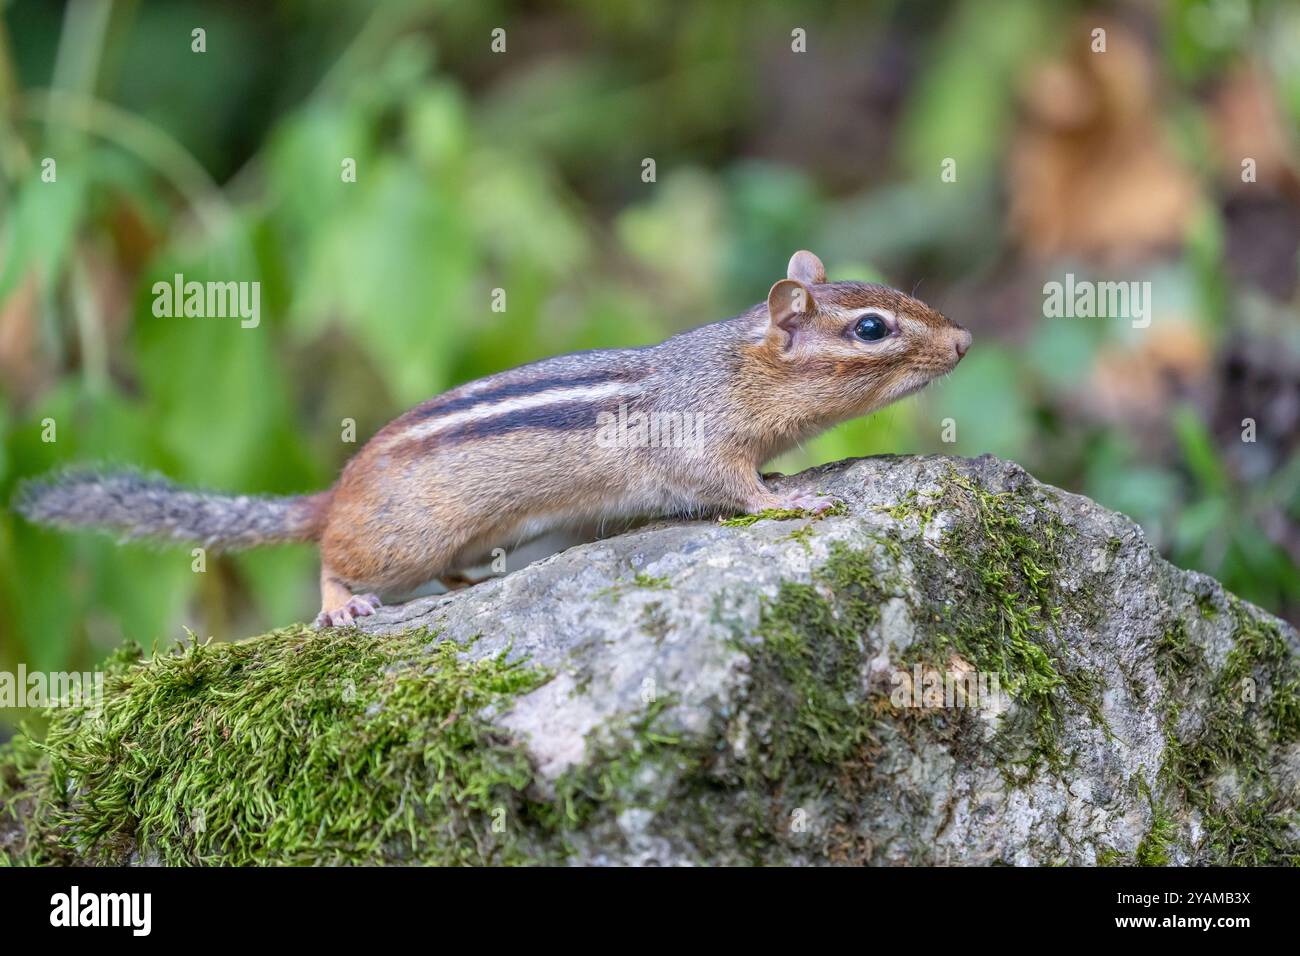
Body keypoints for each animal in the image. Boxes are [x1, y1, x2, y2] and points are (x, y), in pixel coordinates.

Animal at [15, 250, 971, 627]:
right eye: (873, 329)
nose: (964, 340)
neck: (733, 366)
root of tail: (335, 490)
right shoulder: (698, 442)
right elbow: (732, 488)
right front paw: (794, 498)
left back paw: (473, 580)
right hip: (398, 537)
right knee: (332, 557)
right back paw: (342, 605)